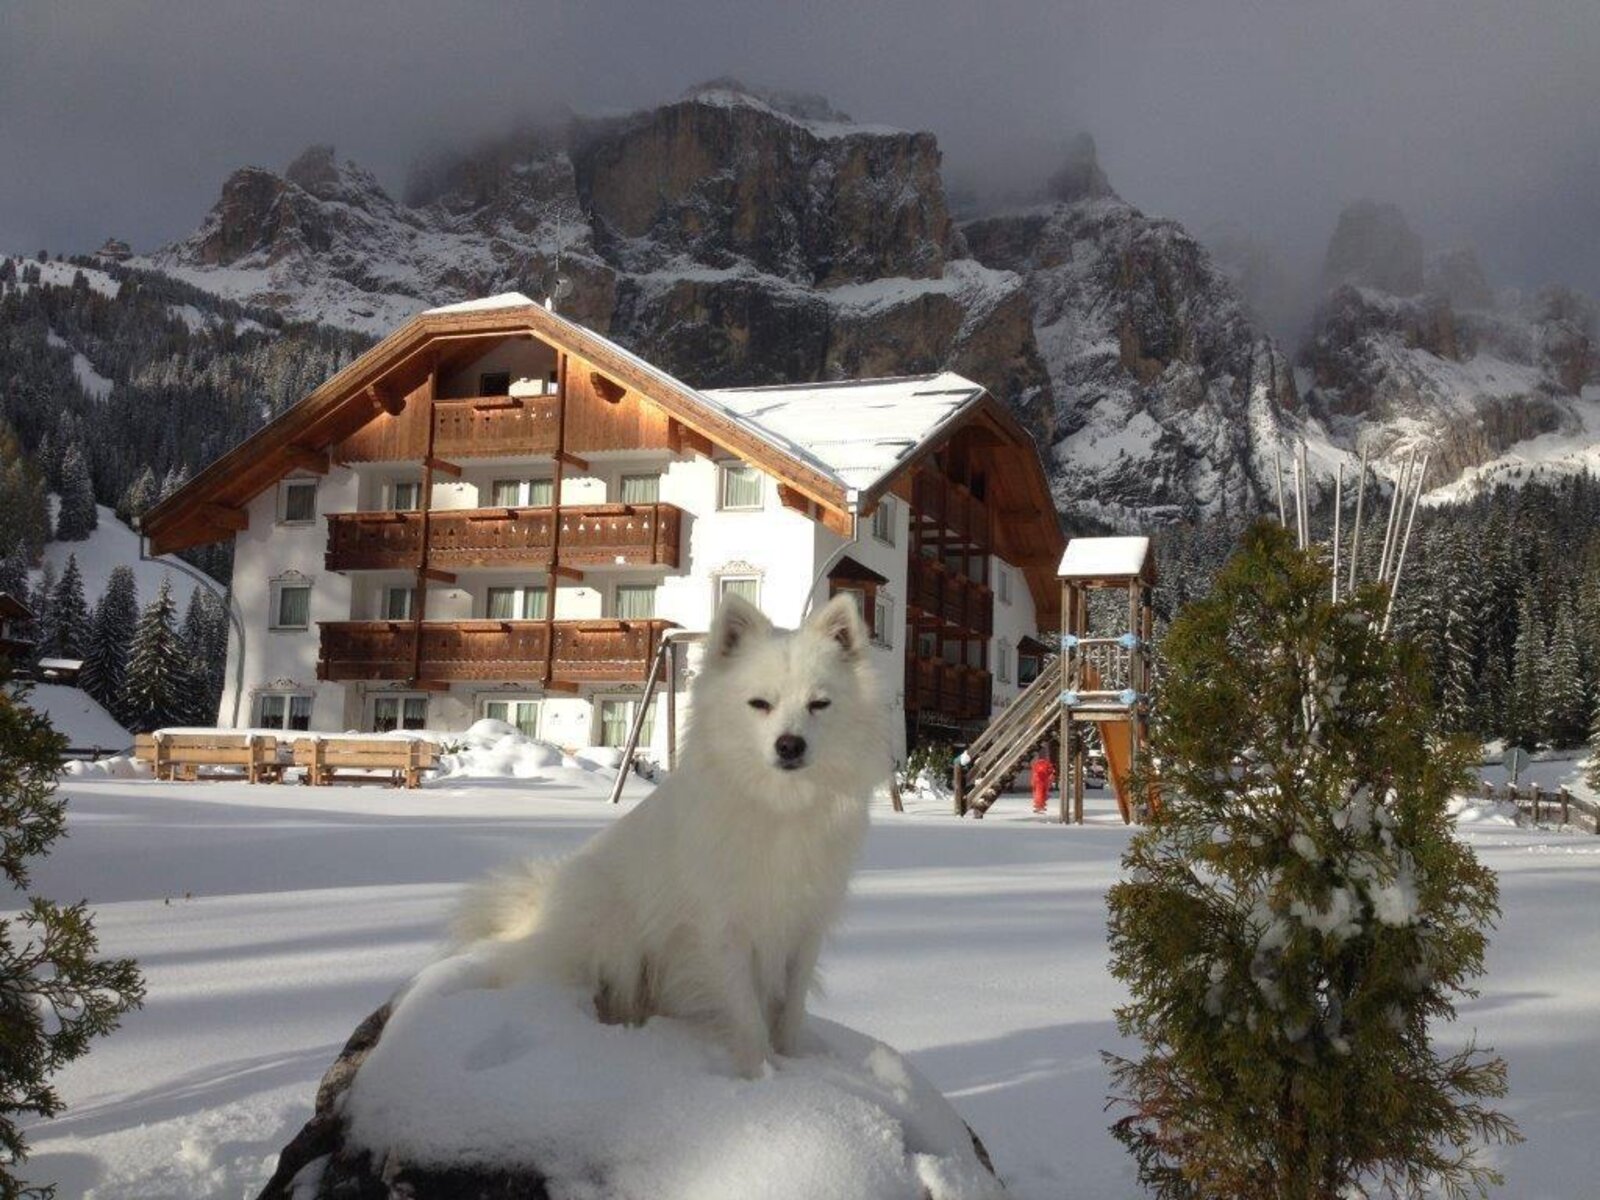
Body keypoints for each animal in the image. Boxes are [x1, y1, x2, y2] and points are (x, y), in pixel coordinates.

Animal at [451, 591, 889, 1077]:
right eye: (760, 704)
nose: (789, 745)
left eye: (819, 704)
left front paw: (797, 1065)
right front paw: (759, 1074)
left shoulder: (806, 925)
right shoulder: (723, 929)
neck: (780, 806)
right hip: (613, 932)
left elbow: (790, 1012)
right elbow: (747, 1016)